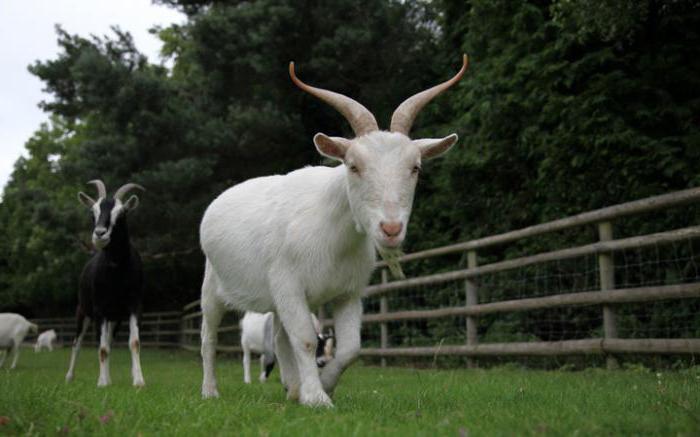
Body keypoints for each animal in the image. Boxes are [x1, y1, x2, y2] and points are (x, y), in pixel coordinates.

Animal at [65, 179, 146, 386]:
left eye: (121, 213)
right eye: (92, 212)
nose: (100, 234)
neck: (117, 273)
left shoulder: (133, 306)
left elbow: (134, 342)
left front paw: (138, 380)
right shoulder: (99, 309)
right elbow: (101, 348)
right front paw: (101, 382)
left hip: (114, 318)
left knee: (108, 342)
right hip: (83, 311)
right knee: (77, 343)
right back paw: (70, 376)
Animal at [200, 54, 468, 406]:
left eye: (415, 167)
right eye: (353, 166)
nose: (391, 228)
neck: (333, 236)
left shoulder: (348, 292)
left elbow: (350, 347)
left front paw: (322, 385)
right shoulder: (288, 283)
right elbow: (305, 340)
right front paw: (317, 398)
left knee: (280, 337)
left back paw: (292, 387)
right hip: (212, 286)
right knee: (209, 337)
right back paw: (210, 391)